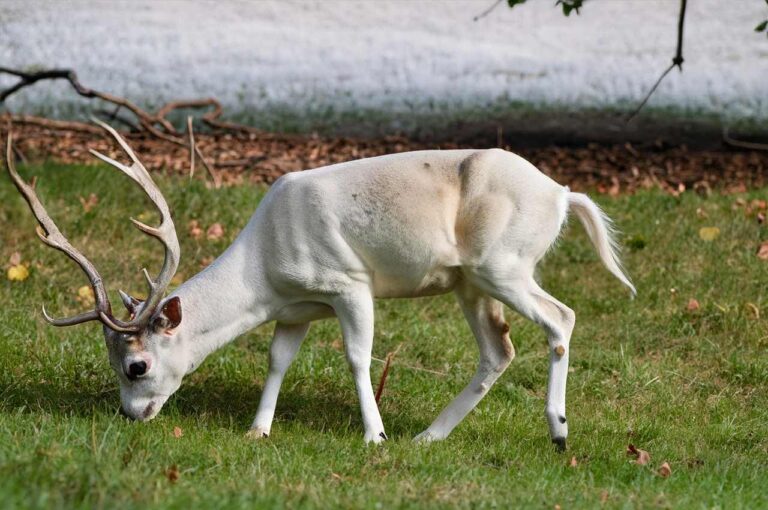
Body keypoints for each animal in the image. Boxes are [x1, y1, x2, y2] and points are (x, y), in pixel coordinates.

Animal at [5, 120, 634, 450]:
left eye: (136, 365)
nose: (131, 415)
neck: (266, 270)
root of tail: (563, 194)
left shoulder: (348, 281)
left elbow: (357, 356)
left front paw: (374, 436)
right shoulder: (297, 307)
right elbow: (277, 360)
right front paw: (258, 430)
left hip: (502, 264)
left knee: (561, 317)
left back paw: (558, 432)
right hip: (470, 283)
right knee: (498, 350)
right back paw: (429, 437)